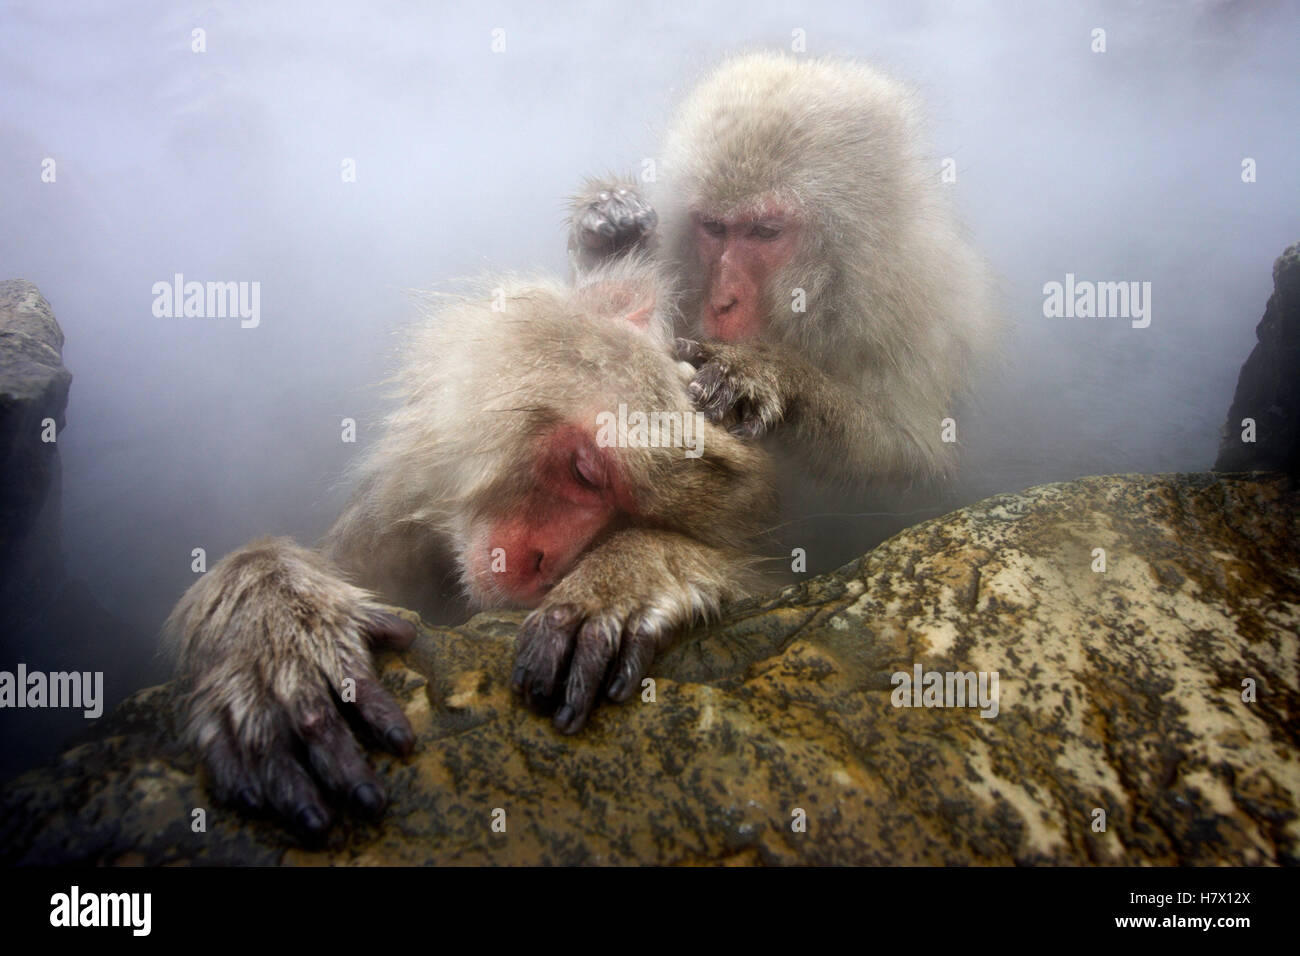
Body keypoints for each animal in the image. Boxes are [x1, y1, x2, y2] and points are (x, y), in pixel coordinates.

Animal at [569, 52, 998, 493]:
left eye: (764, 231)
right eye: (714, 227)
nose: (722, 300)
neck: (833, 294)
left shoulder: (919, 321)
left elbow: (912, 466)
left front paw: (773, 374)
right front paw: (615, 242)